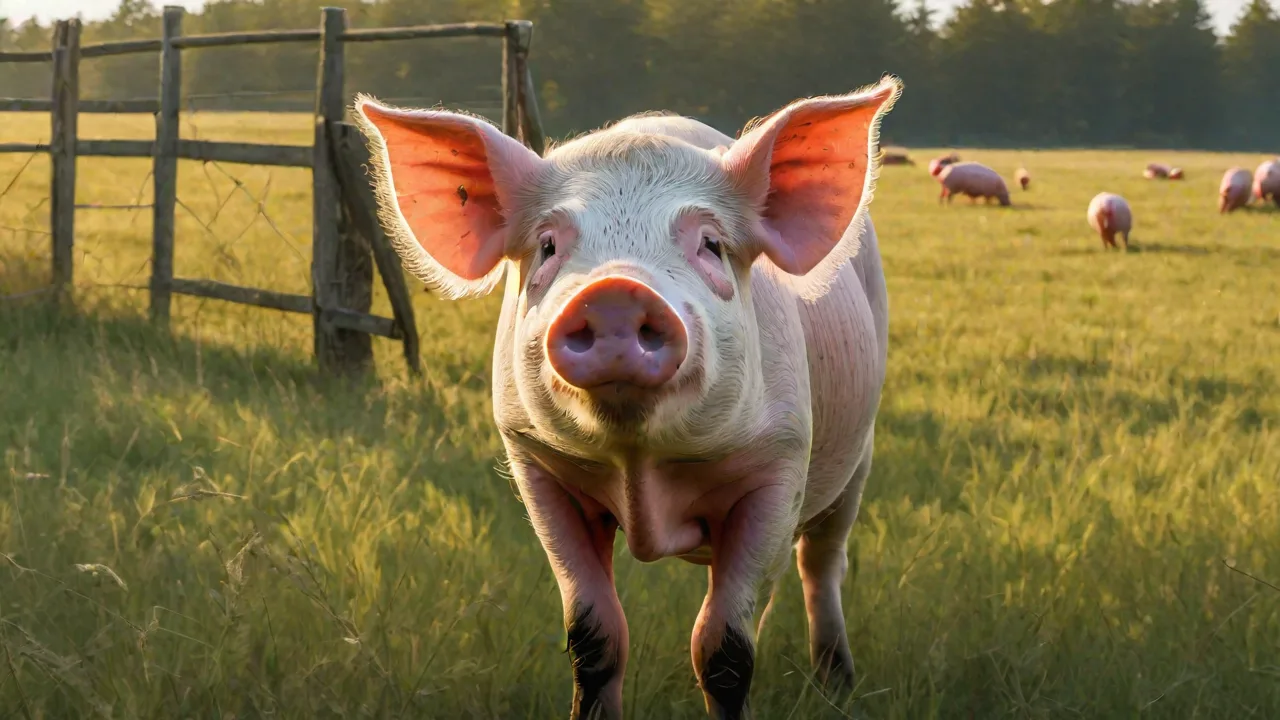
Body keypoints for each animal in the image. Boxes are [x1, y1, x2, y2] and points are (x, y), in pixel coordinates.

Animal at [355, 76, 903, 720]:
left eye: (711, 244)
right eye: (547, 246)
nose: (615, 290)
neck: (640, 466)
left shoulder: (781, 458)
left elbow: (724, 648)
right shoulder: (537, 463)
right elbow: (593, 634)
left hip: (858, 453)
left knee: (821, 562)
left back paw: (836, 682)